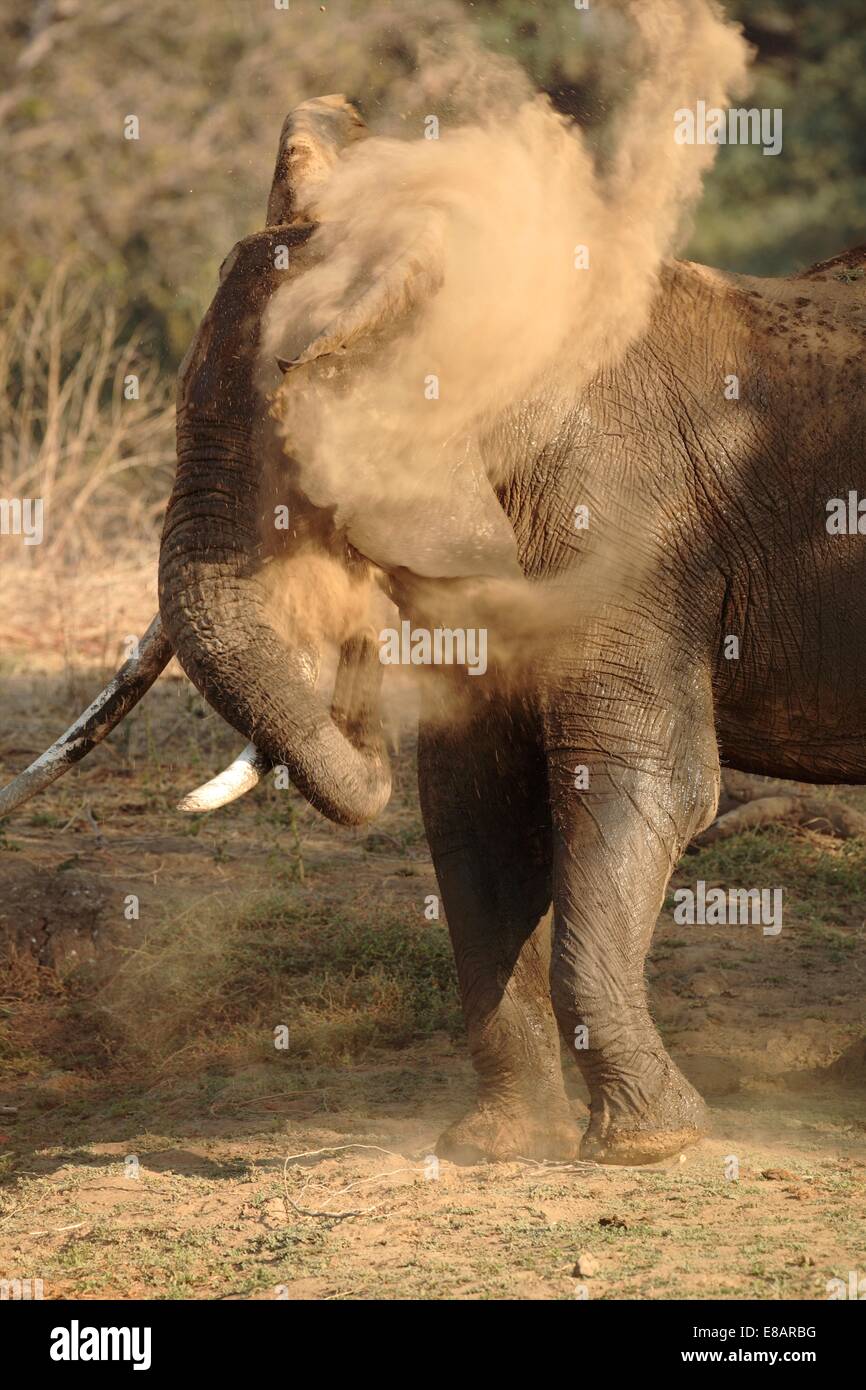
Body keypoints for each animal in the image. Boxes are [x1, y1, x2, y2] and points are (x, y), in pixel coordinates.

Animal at [3, 94, 865, 1168]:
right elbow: (473, 800)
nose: (350, 640)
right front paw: (498, 1147)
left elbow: (641, 781)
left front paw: (649, 1145)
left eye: (304, 480)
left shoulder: (632, 532)